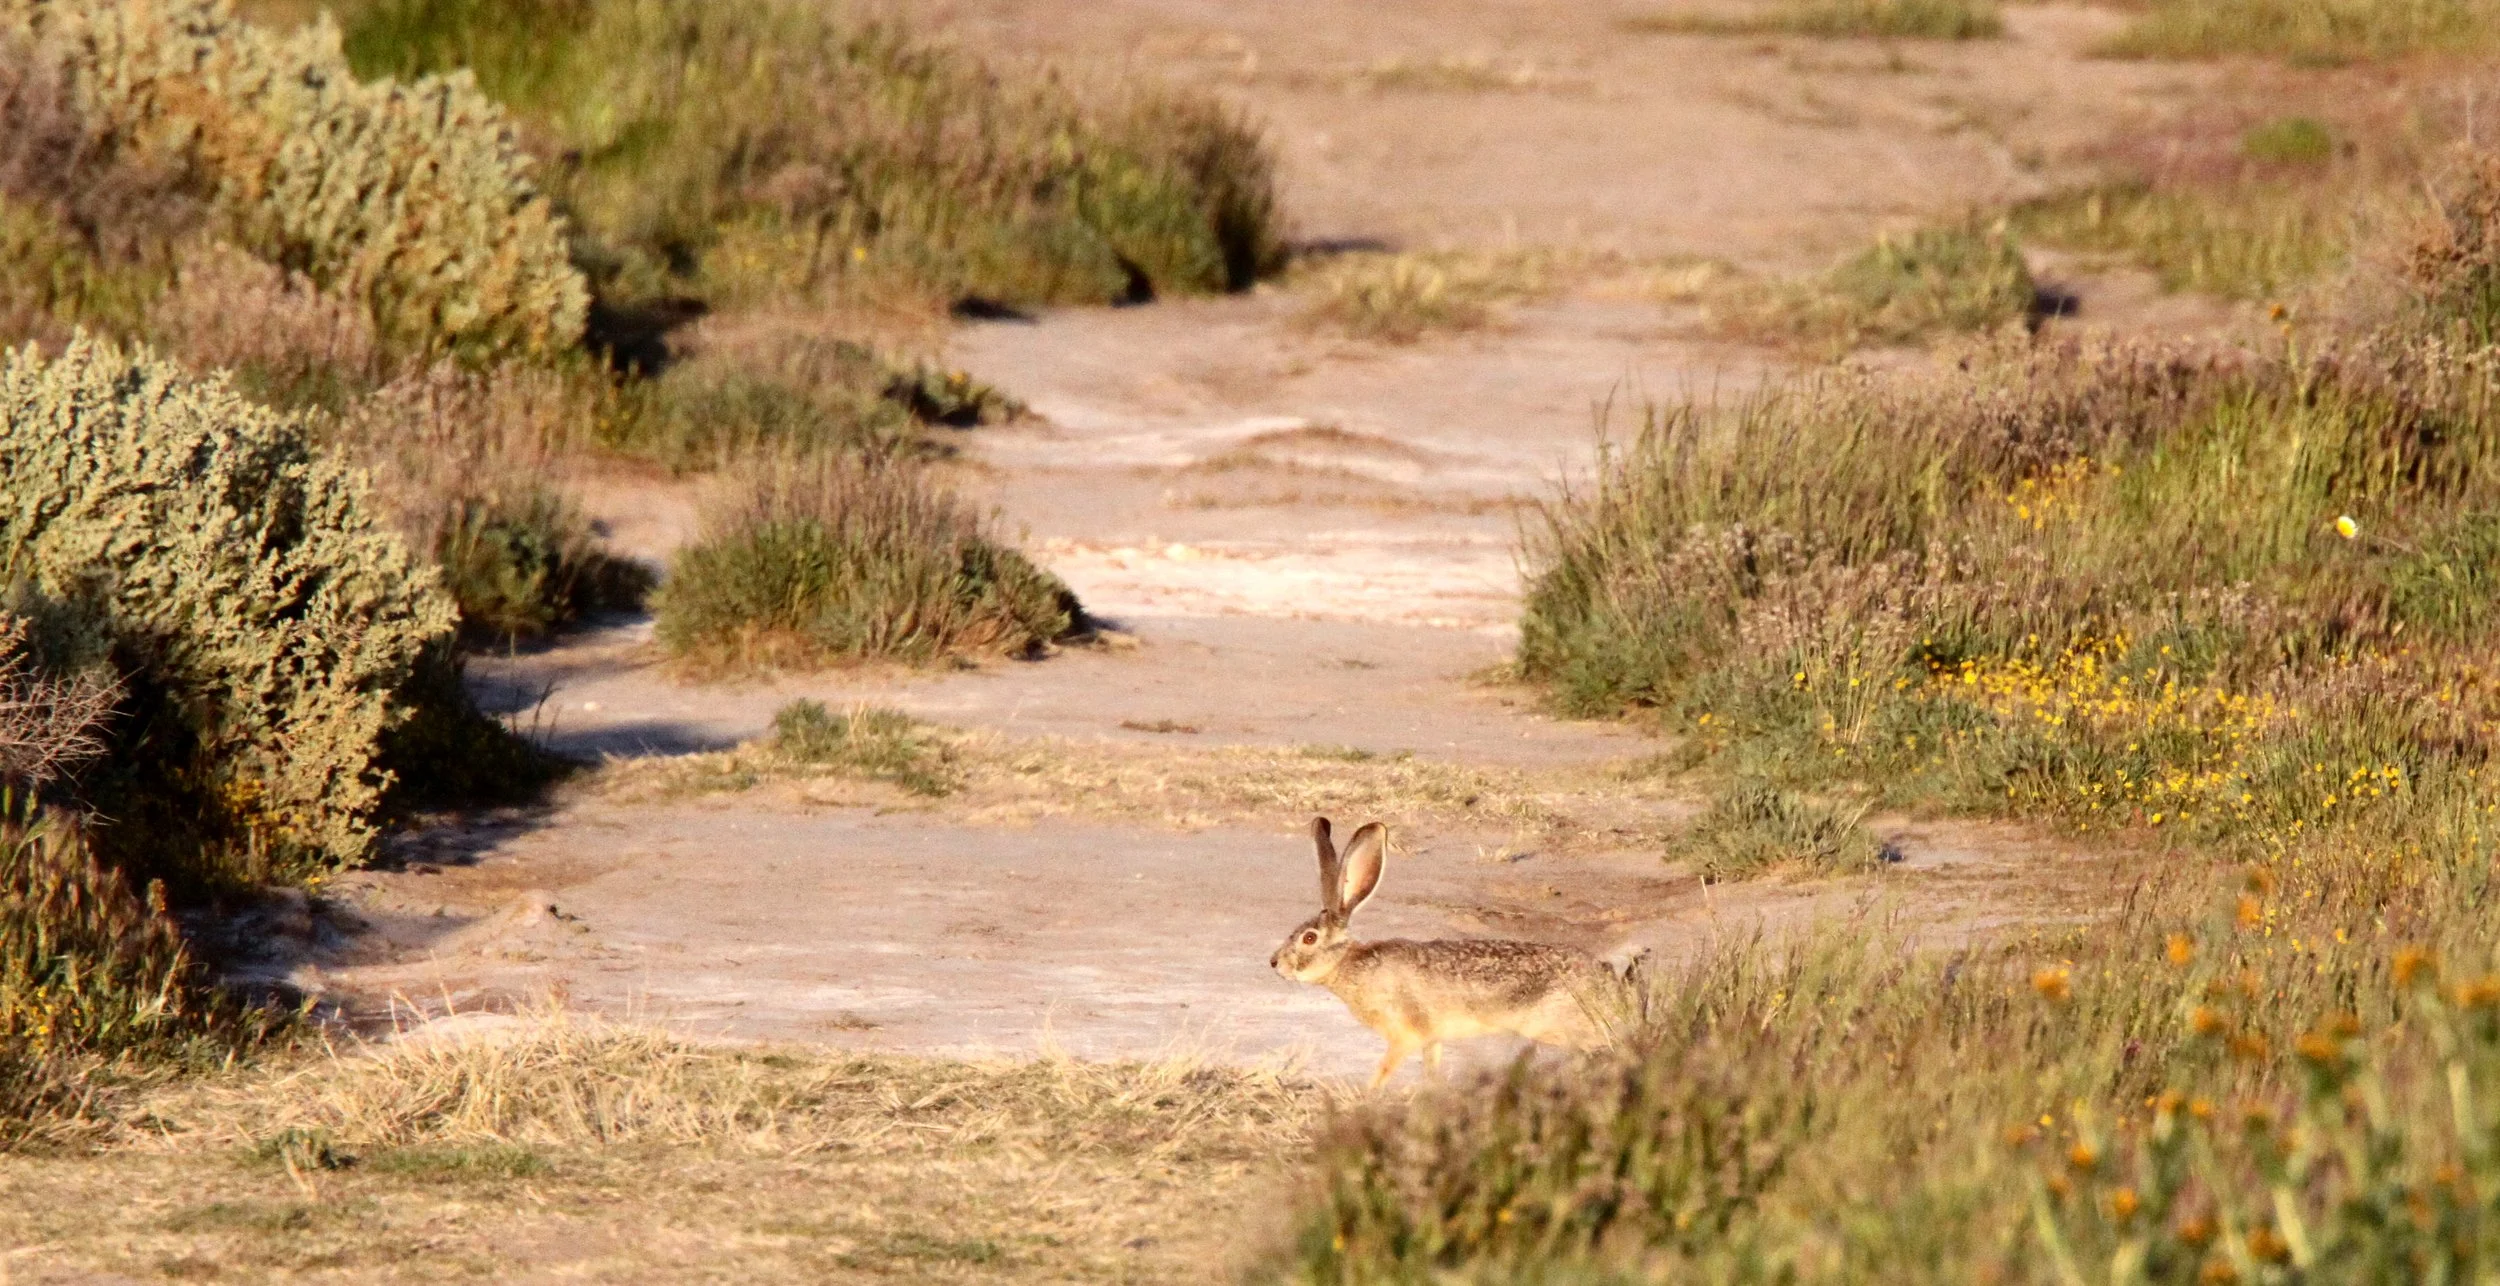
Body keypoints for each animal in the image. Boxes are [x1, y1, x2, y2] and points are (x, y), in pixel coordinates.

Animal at [1270, 816, 1632, 1089]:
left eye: (1309, 938)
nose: (1274, 963)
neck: (1348, 963)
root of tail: (1608, 984)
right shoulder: (1432, 1039)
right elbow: (1431, 1070)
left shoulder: (1404, 1036)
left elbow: (1385, 1069)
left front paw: (1367, 1097)